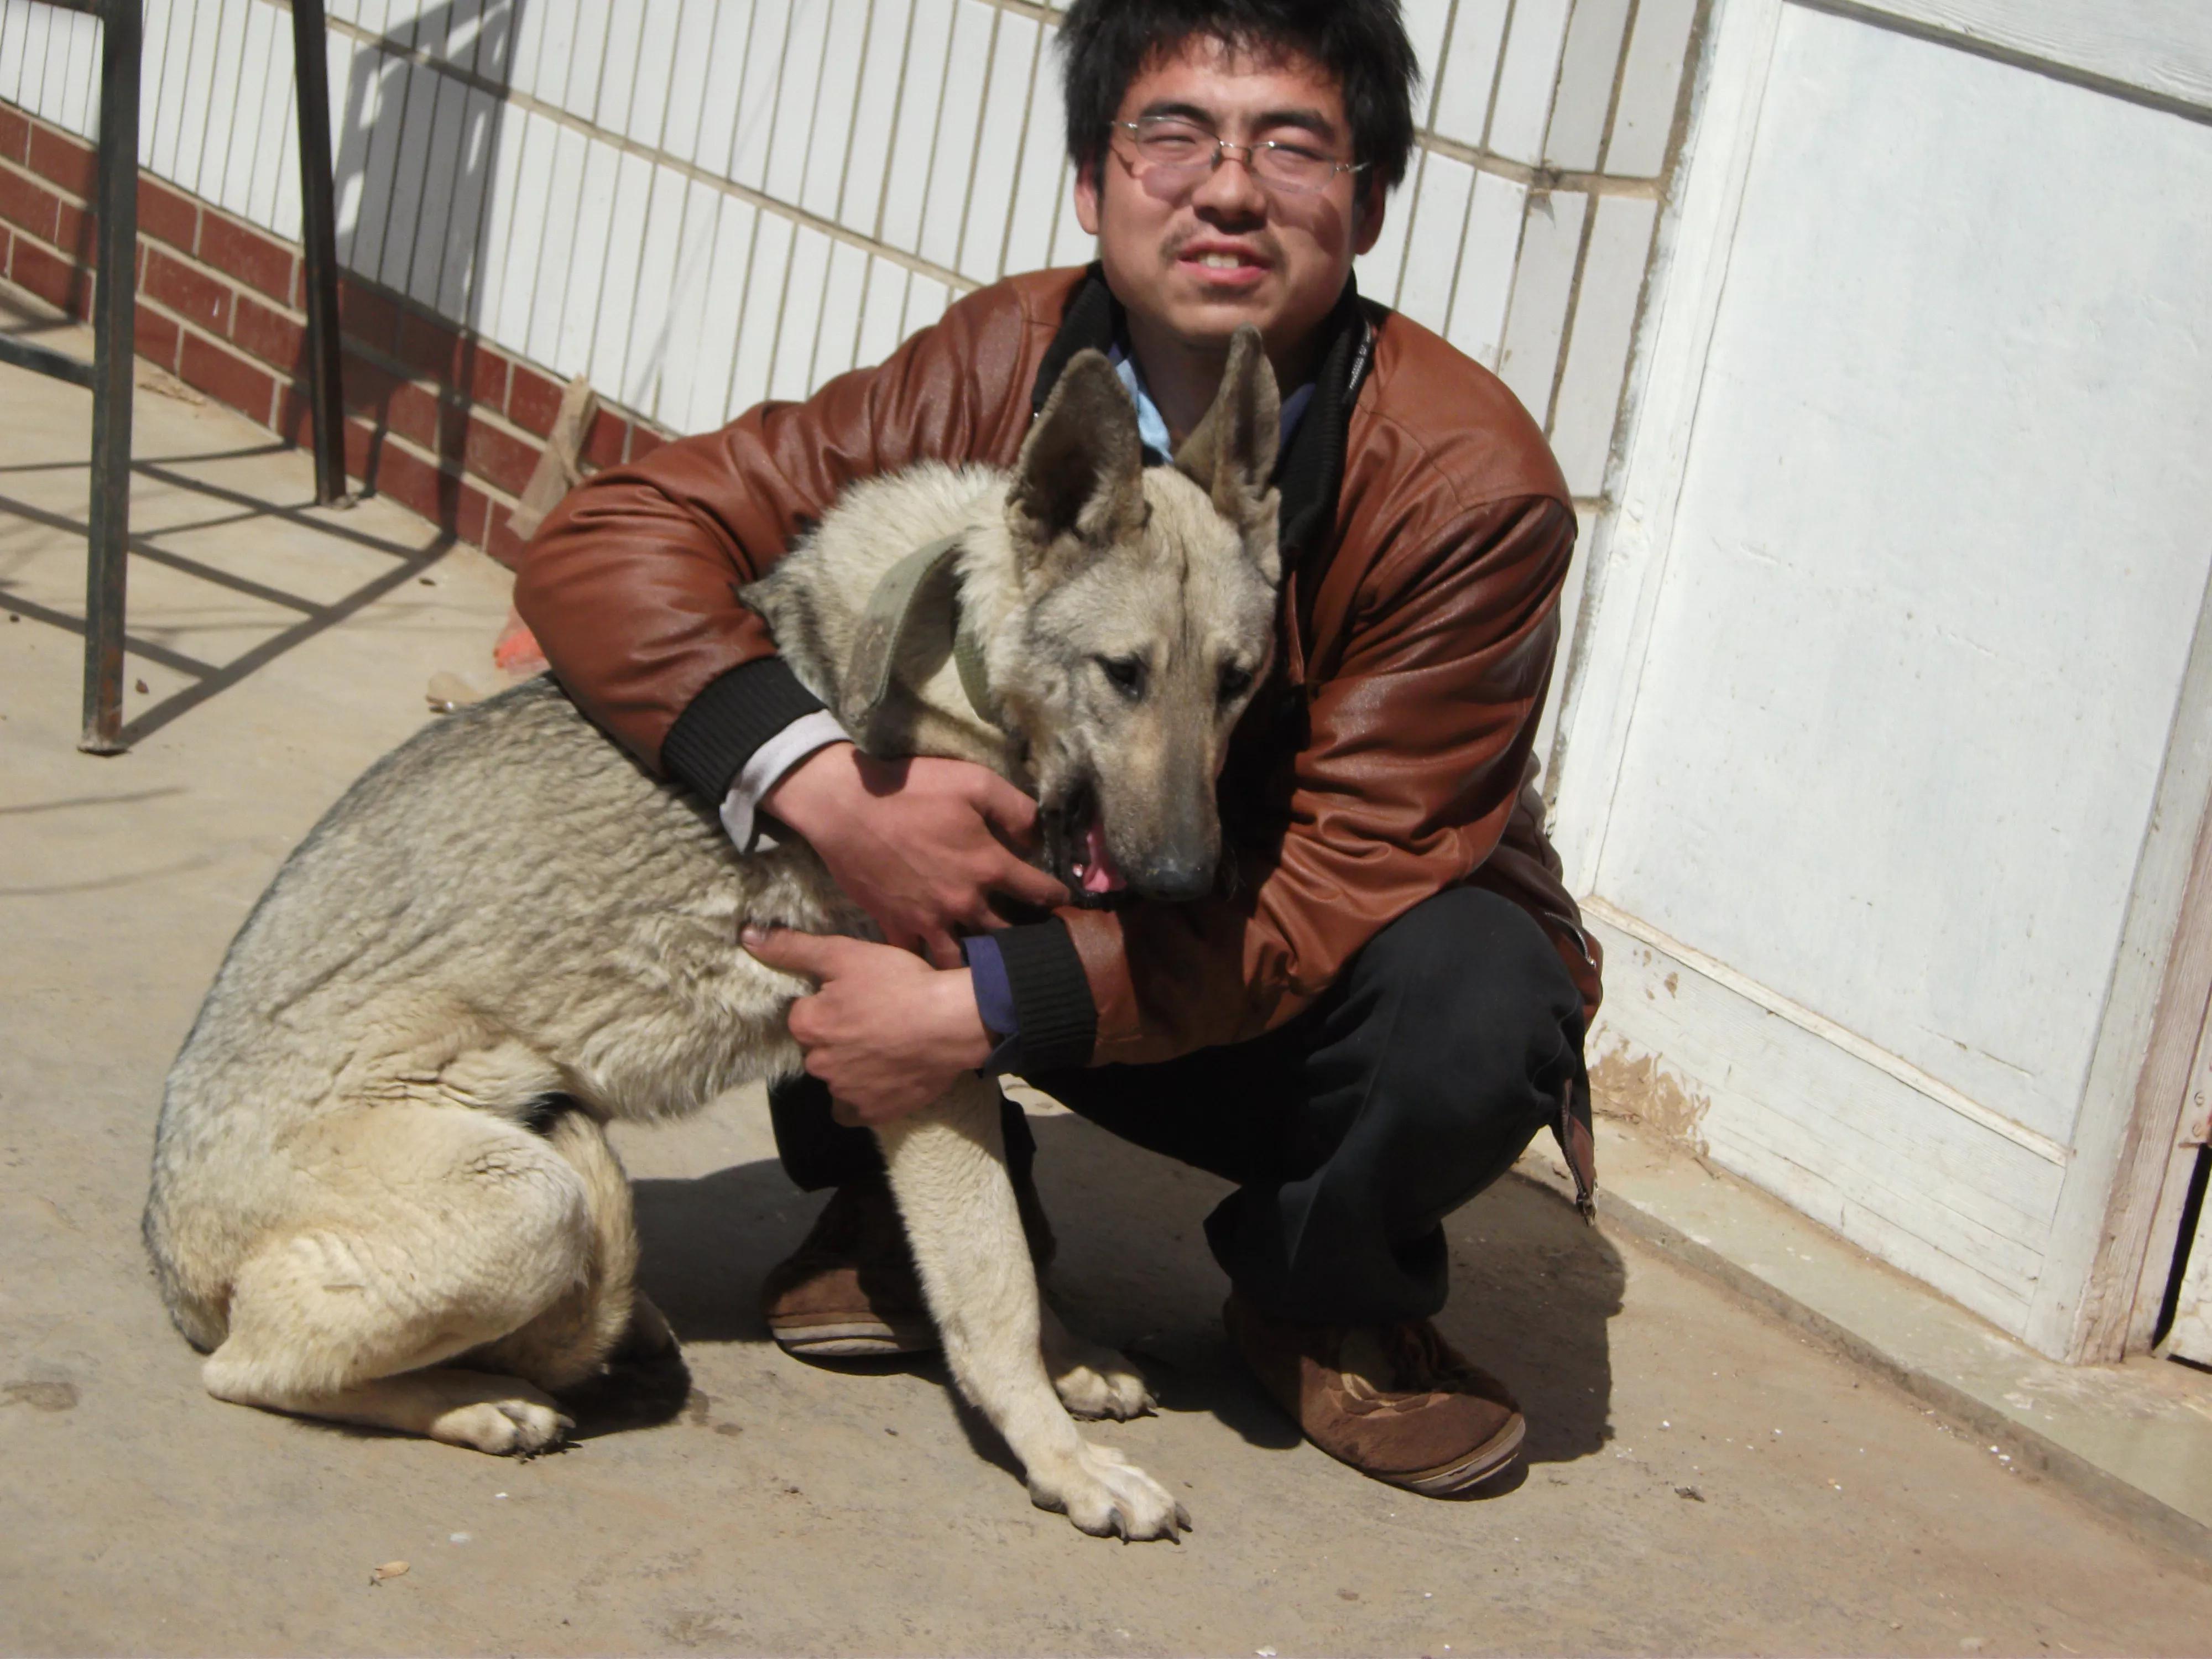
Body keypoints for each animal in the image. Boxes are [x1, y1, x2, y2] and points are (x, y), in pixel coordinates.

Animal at [141, 329, 1283, 1543]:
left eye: (1235, 682)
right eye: (1123, 675)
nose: (1187, 882)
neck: (960, 675)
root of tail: (166, 1256)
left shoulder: (956, 1034)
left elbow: (1013, 1251)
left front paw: (1073, 1375)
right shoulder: (931, 1064)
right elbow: (996, 1288)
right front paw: (1062, 1462)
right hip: (532, 1204)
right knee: (252, 1368)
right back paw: (482, 1402)